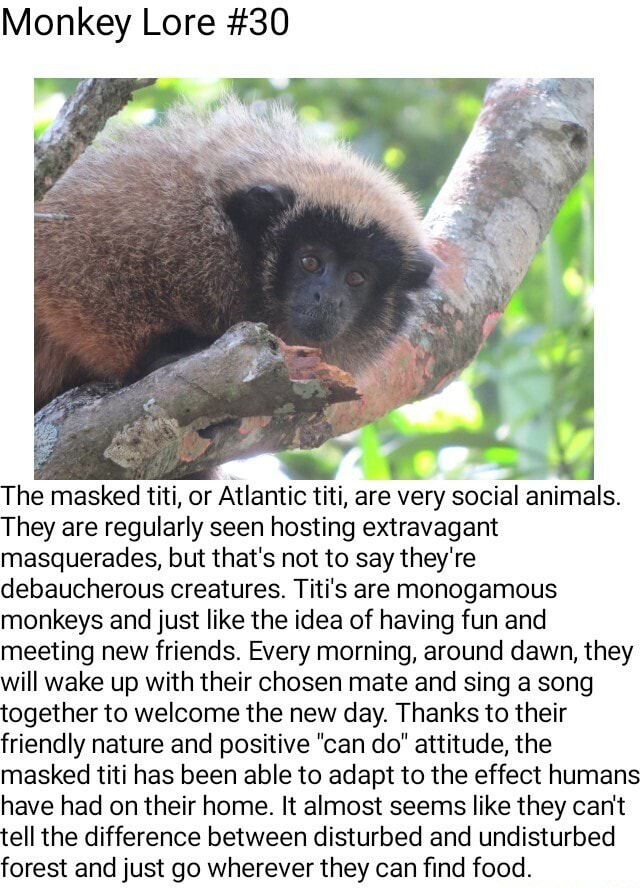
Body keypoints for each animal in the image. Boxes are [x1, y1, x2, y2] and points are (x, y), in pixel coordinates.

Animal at [35, 99, 435, 413]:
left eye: (356, 277)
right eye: (310, 262)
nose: (329, 298)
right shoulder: (158, 214)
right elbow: (62, 267)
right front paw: (153, 356)